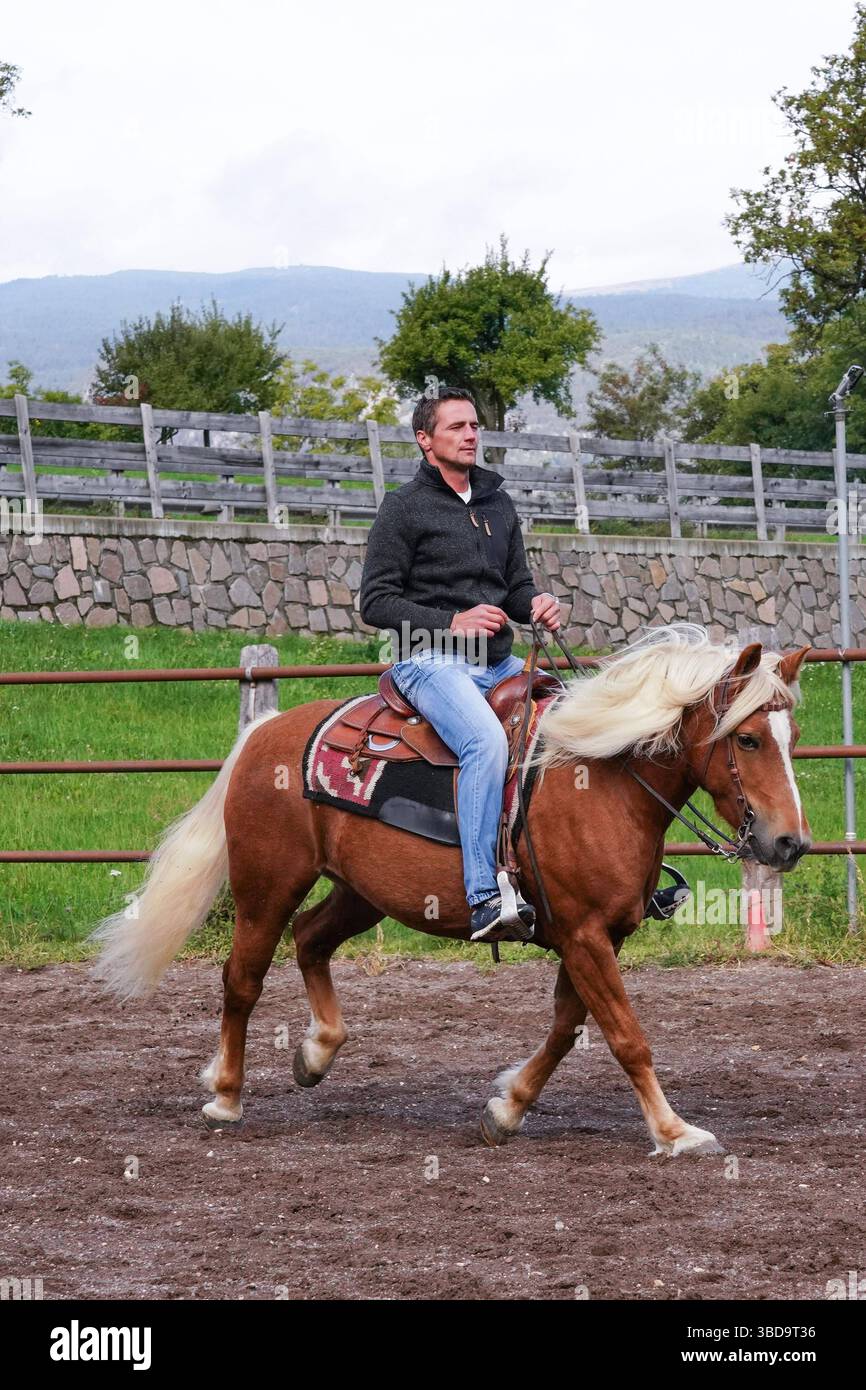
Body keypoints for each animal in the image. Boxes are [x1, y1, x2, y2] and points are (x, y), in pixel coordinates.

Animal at [92, 623, 812, 1157]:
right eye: (749, 739)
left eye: (793, 737)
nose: (791, 843)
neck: (600, 779)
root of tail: (263, 733)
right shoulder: (584, 935)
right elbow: (626, 1035)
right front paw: (675, 1131)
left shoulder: (595, 935)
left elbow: (567, 1028)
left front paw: (507, 1108)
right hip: (267, 884)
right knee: (242, 978)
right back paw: (226, 1094)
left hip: (361, 892)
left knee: (310, 940)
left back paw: (316, 1052)